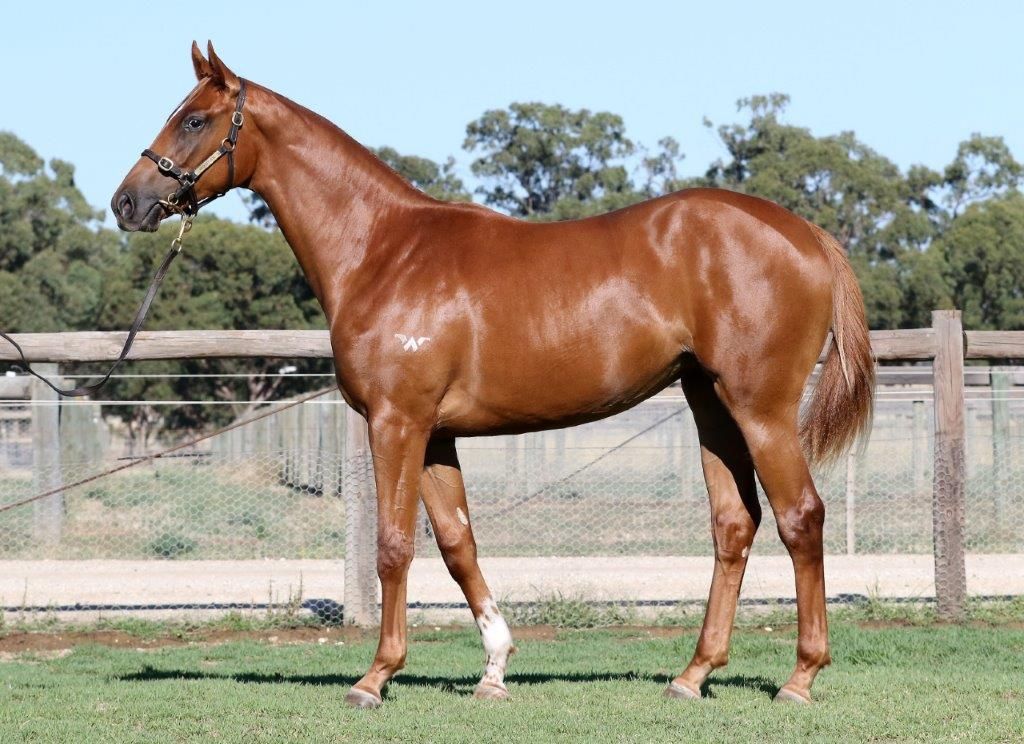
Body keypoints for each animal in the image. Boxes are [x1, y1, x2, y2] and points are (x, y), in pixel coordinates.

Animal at [112, 42, 874, 708]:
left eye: (194, 119)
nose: (128, 202)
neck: (382, 249)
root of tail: (807, 234)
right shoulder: (436, 436)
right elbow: (457, 545)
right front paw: (494, 669)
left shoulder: (396, 423)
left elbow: (393, 547)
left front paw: (375, 678)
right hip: (709, 403)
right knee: (734, 525)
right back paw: (692, 675)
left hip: (760, 408)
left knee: (801, 517)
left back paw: (800, 679)